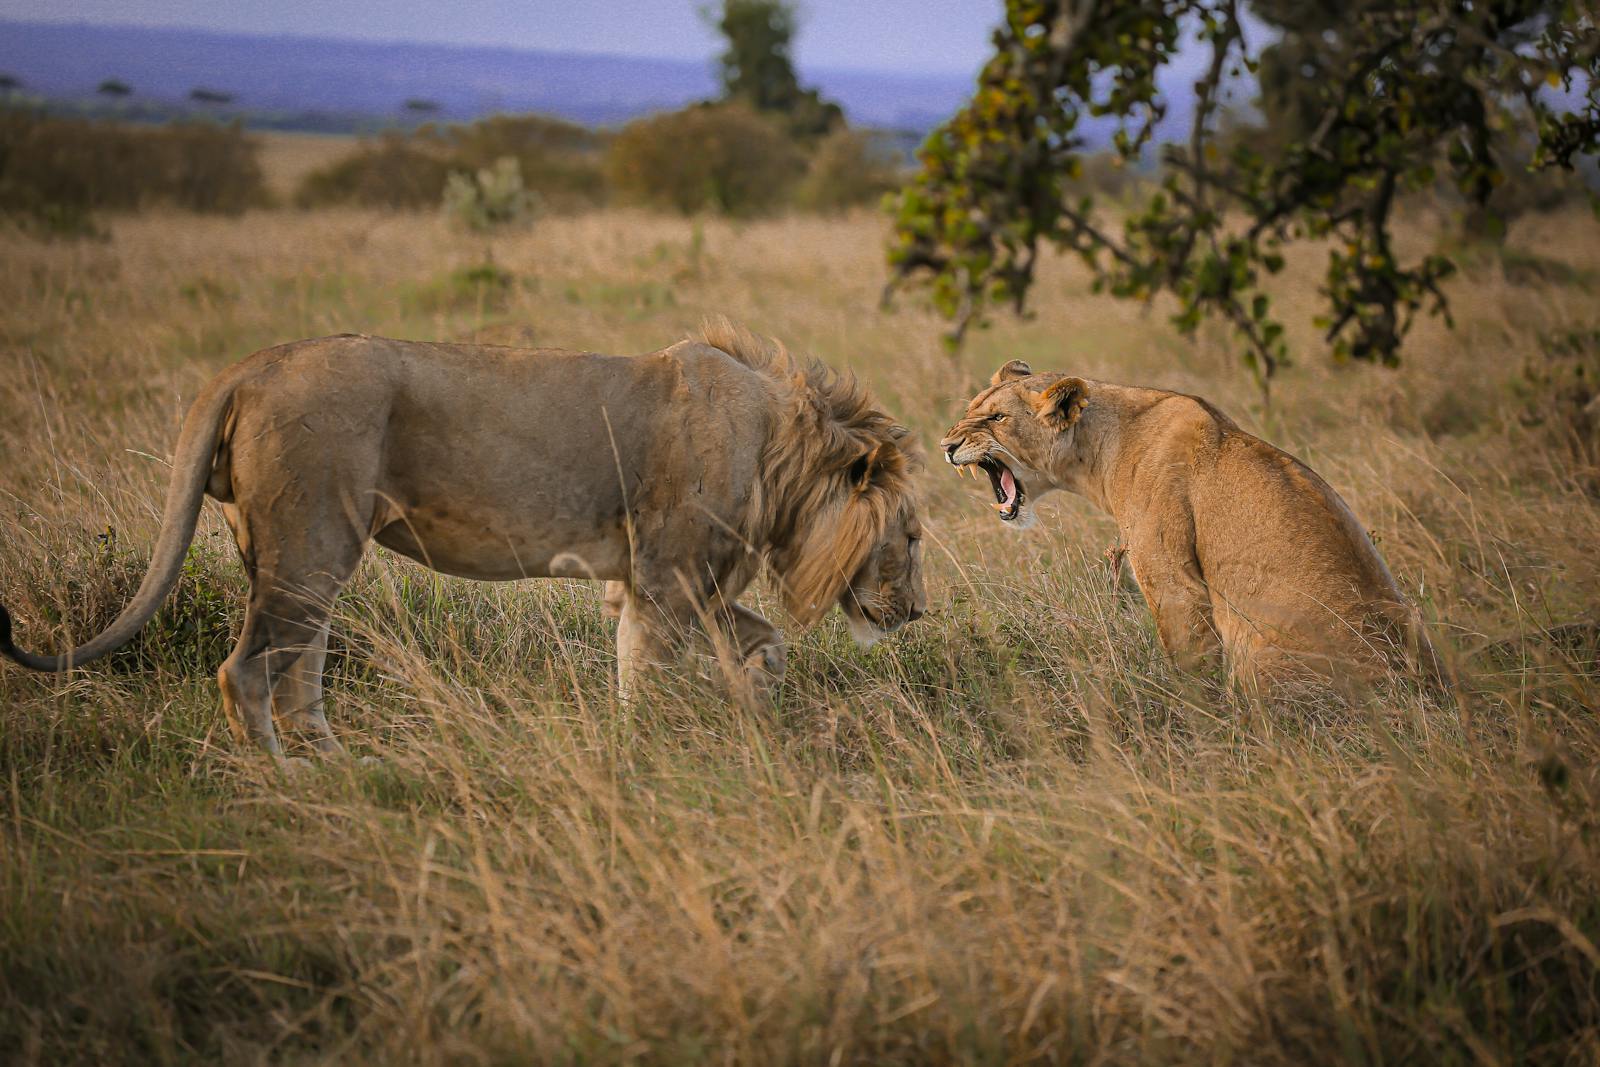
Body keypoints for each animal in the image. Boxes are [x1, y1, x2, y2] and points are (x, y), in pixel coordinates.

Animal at [0, 319, 926, 760]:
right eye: (913, 538)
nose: (916, 615)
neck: (781, 450)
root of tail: (250, 366)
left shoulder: (652, 581)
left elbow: (731, 649)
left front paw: (740, 718)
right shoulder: (670, 575)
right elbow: (670, 668)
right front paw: (662, 746)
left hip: (295, 556)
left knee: (299, 671)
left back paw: (343, 767)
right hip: (311, 541)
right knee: (246, 671)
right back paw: (291, 778)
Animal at [940, 359, 1440, 688]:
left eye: (997, 418)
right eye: (969, 411)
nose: (947, 445)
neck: (1100, 448)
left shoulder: (1171, 579)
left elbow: (1189, 659)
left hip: (1258, 652)